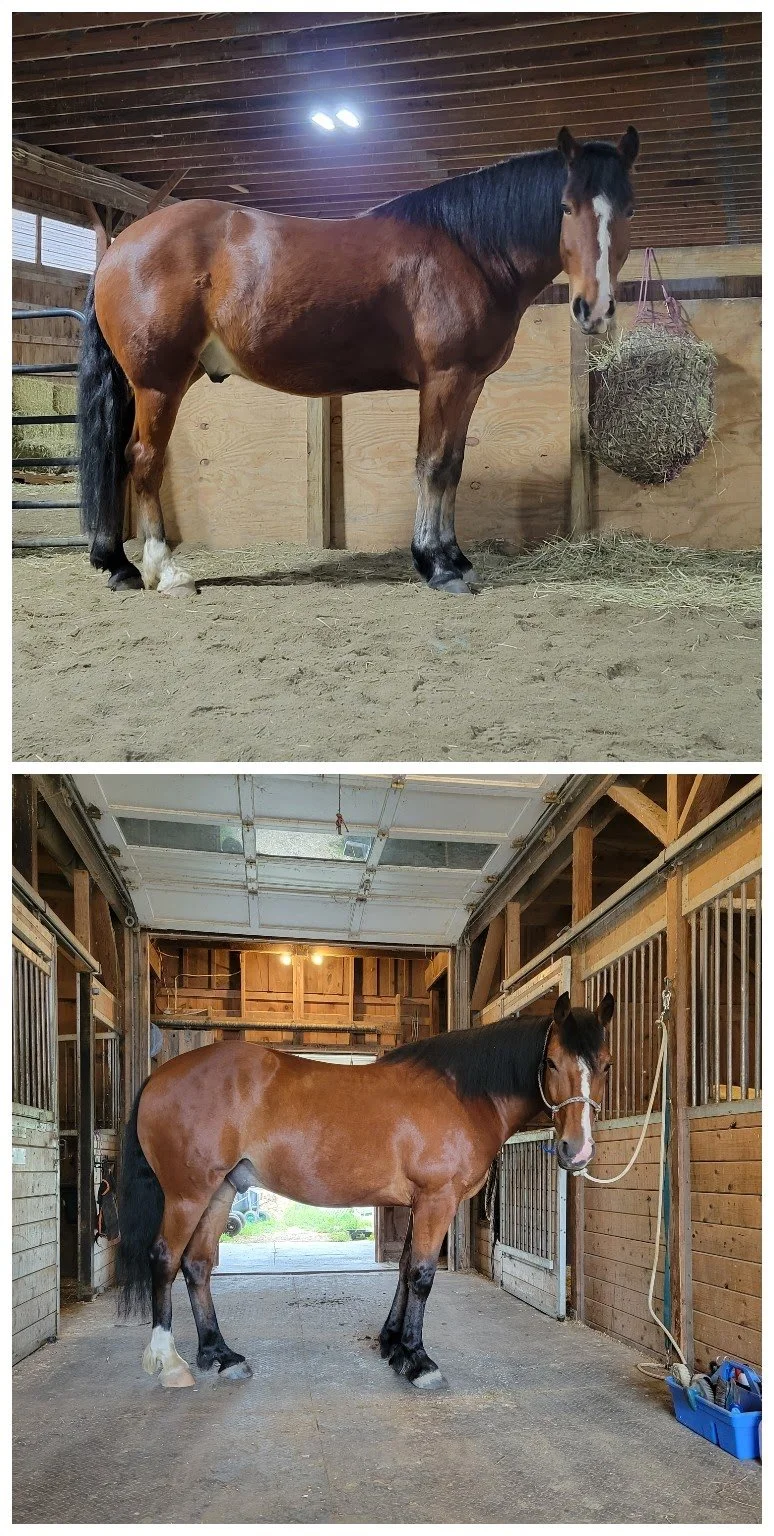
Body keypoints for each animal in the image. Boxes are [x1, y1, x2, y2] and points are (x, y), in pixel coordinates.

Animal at [78, 126, 638, 600]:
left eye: (628, 209)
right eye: (565, 207)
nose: (594, 308)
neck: (468, 249)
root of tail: (120, 245)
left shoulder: (470, 383)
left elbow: (454, 465)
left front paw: (455, 557)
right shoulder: (445, 378)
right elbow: (432, 465)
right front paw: (437, 565)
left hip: (149, 383)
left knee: (120, 457)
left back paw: (119, 565)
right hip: (159, 383)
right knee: (144, 459)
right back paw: (165, 571)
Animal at [118, 990, 614, 1392]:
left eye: (606, 1064)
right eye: (551, 1062)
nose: (577, 1149)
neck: (462, 1093)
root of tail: (160, 1077)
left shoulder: (419, 1203)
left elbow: (405, 1269)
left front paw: (394, 1347)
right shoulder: (437, 1199)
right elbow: (422, 1276)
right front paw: (419, 1362)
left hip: (221, 1191)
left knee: (197, 1264)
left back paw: (220, 1356)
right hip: (188, 1193)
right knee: (164, 1257)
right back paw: (169, 1364)